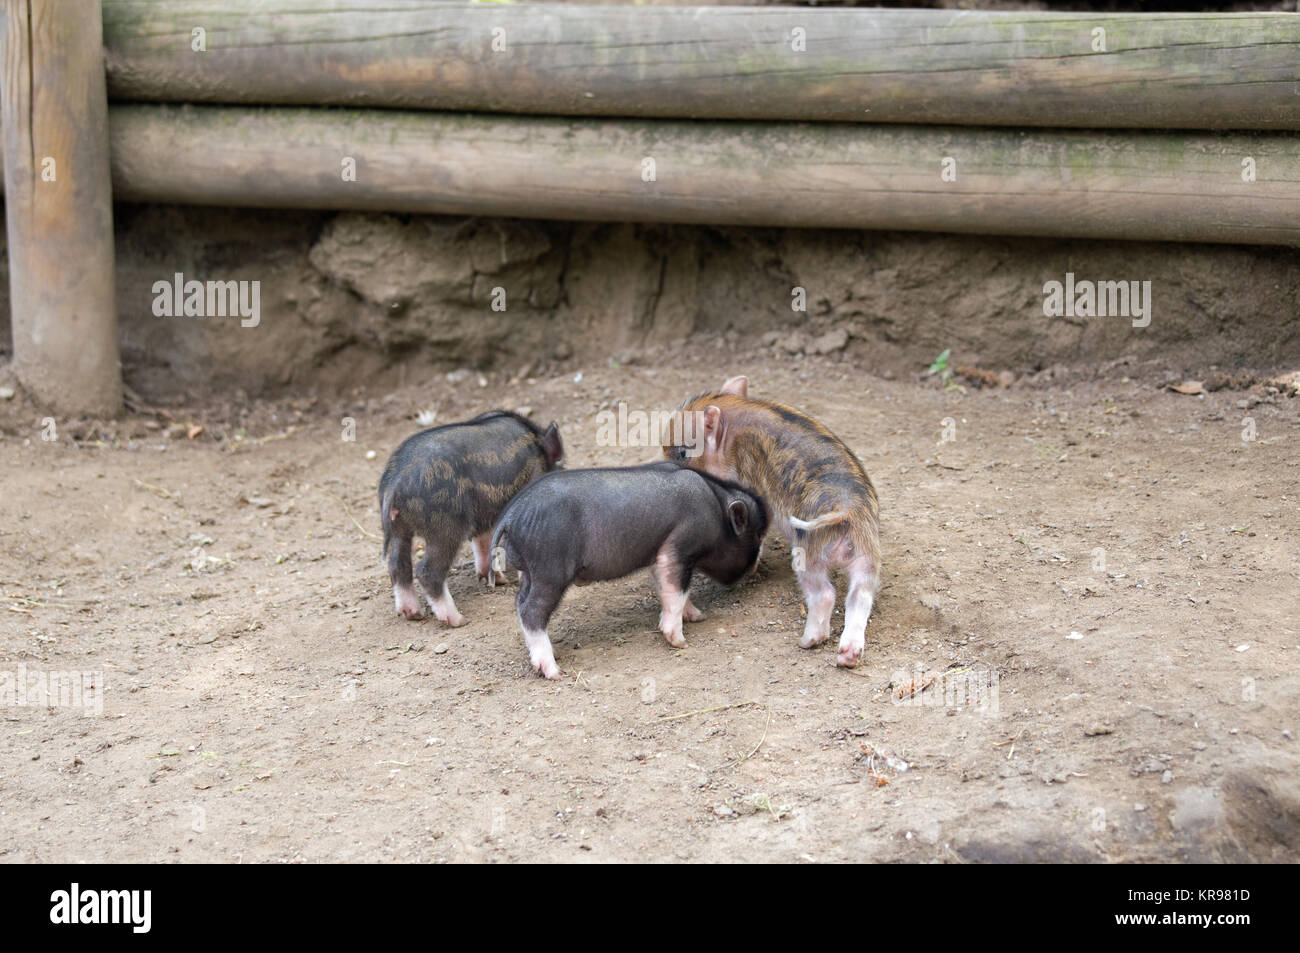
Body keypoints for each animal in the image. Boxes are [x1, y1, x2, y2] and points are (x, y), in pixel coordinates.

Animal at [379, 411, 563, 626]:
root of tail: (395, 483)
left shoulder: (483, 519)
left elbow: (482, 542)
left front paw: (499, 581)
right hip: (444, 527)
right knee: (426, 571)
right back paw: (458, 620)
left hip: (398, 528)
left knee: (397, 566)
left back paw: (413, 614)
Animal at [491, 462, 768, 678]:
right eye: (756, 534)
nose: (758, 565)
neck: (716, 509)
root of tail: (510, 516)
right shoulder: (679, 546)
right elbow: (677, 591)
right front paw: (680, 642)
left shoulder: (658, 554)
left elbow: (667, 587)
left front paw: (698, 617)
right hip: (549, 570)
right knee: (531, 610)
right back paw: (554, 672)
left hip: (531, 573)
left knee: (519, 602)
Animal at [665, 376, 880, 667]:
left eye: (681, 453)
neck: (732, 430)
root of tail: (847, 509)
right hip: (867, 555)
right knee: (860, 596)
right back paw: (847, 657)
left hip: (809, 551)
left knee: (825, 594)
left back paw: (807, 642)